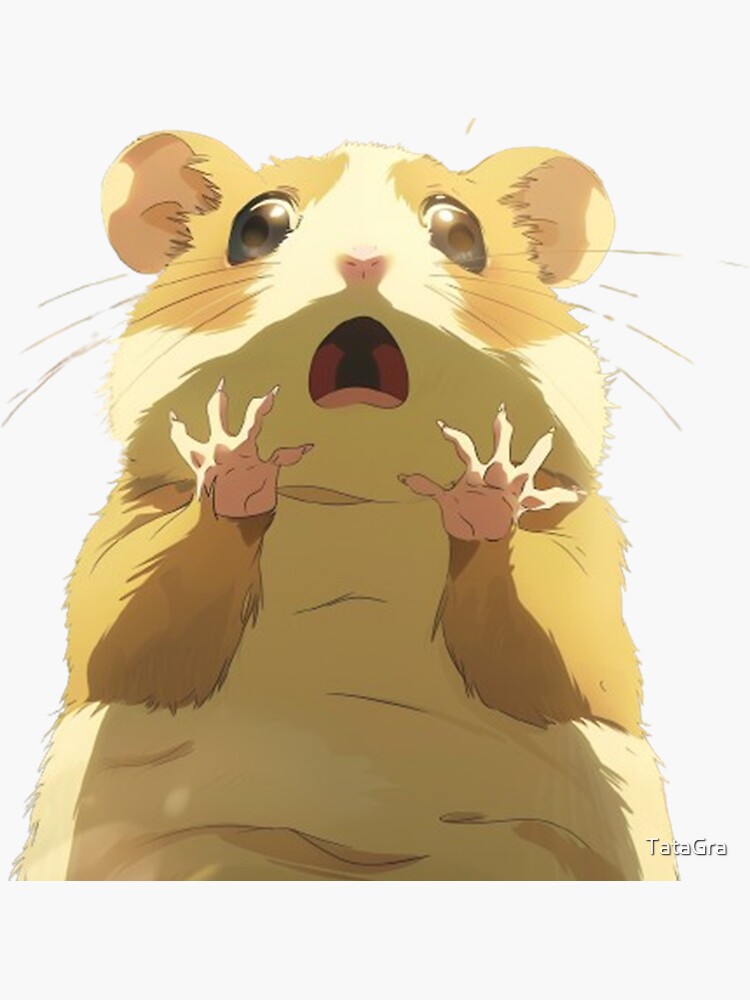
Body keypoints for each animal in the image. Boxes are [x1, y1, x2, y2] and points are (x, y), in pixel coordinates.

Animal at [13, 131, 676, 880]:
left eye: (459, 231)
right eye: (257, 225)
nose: (362, 259)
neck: (357, 495)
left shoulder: (583, 552)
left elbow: (565, 662)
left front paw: (487, 486)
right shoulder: (128, 525)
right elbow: (125, 637)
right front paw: (237, 465)